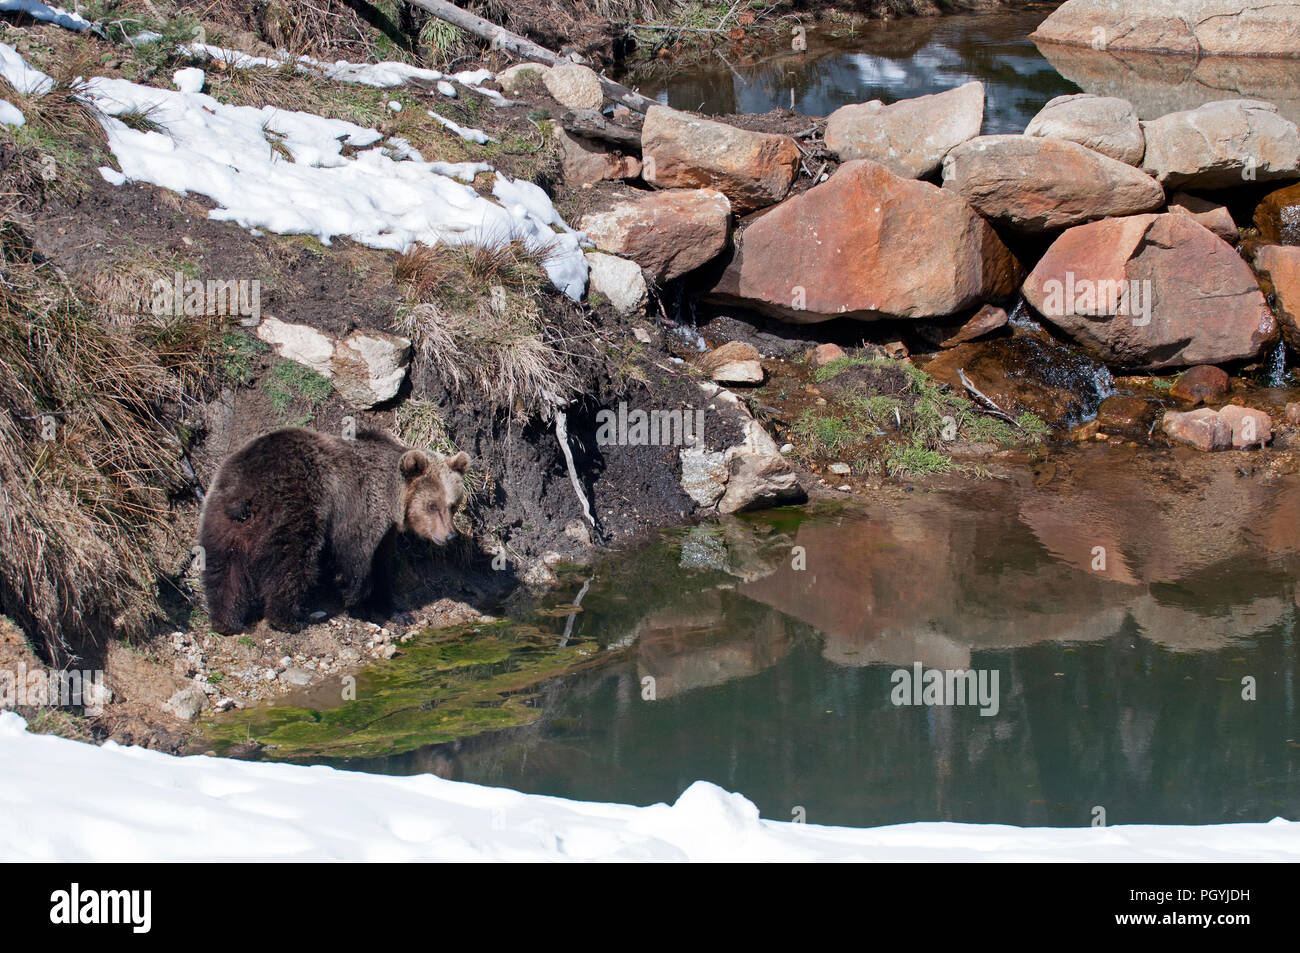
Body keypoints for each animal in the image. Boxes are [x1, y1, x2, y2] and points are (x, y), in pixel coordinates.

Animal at [197, 427, 469, 635]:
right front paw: (361, 606)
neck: (392, 496)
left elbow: (382, 565)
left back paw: (227, 621)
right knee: (291, 562)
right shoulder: (360, 507)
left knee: (224, 569)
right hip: (295, 503)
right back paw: (288, 619)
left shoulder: (386, 532)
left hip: (222, 517)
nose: (450, 535)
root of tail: (247, 491)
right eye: (432, 505)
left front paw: (396, 610)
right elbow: (356, 559)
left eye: (453, 504)